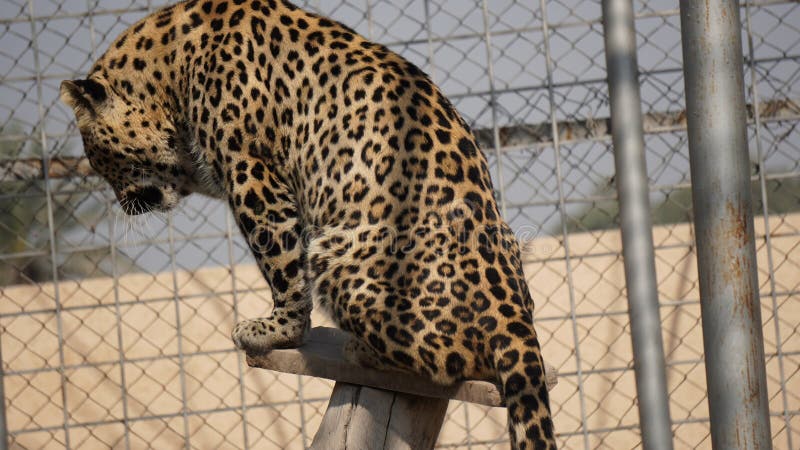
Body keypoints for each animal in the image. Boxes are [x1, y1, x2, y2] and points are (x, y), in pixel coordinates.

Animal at [60, 0, 556, 448]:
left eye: (98, 159)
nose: (122, 205)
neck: (169, 71)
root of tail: (513, 316)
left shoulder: (251, 170)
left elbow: (280, 261)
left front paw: (277, 330)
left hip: (340, 257)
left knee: (448, 360)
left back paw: (359, 350)